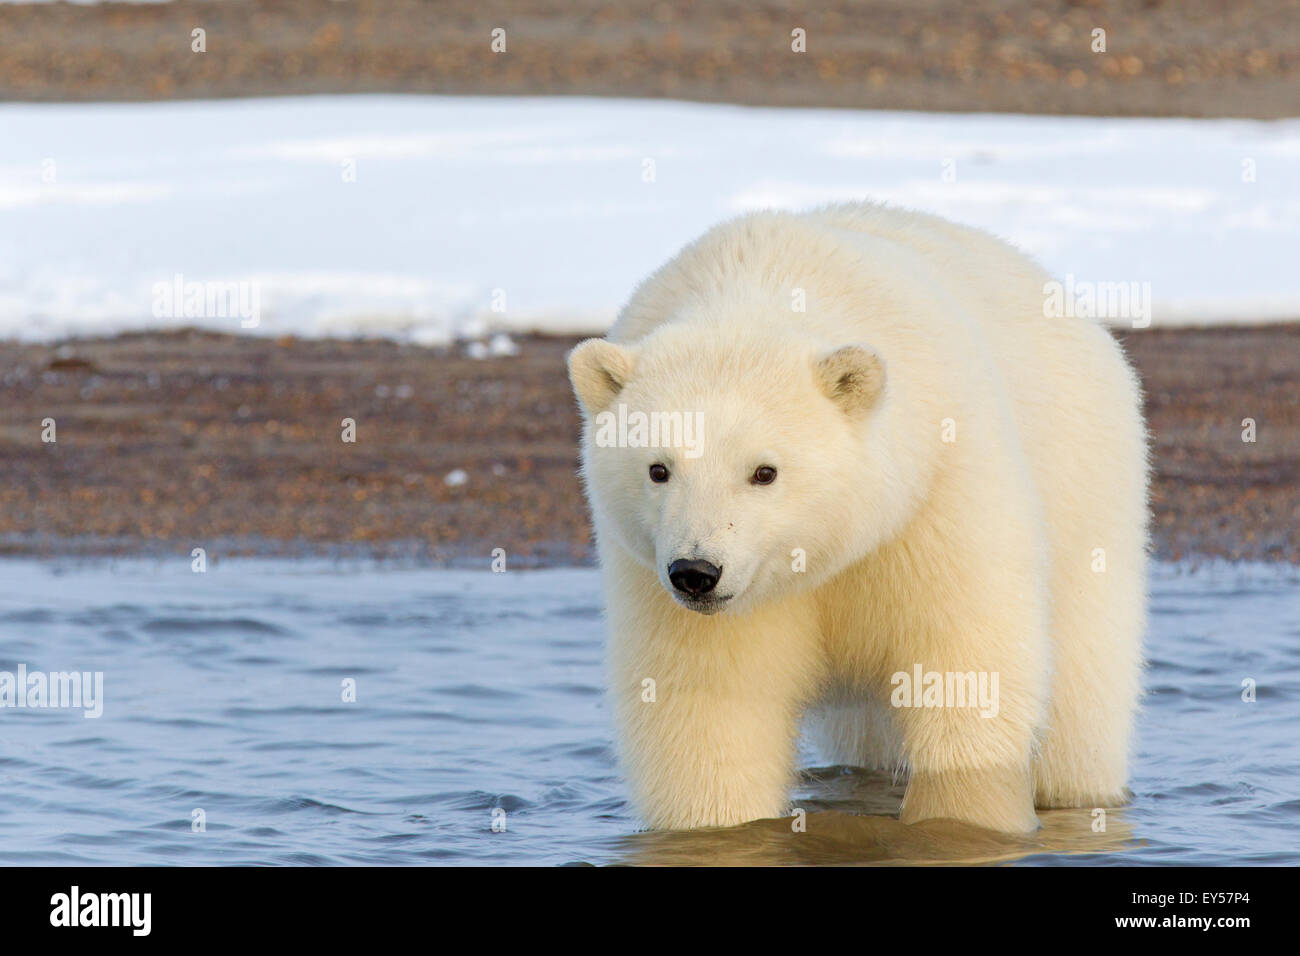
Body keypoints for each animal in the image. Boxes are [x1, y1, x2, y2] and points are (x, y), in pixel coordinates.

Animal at [567, 201, 1147, 833]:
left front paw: (960, 821)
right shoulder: (676, 591)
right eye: (658, 468)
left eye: (764, 471)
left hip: (1085, 488)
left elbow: (966, 668)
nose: (696, 572)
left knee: (1081, 698)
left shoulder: (936, 492)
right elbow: (711, 715)